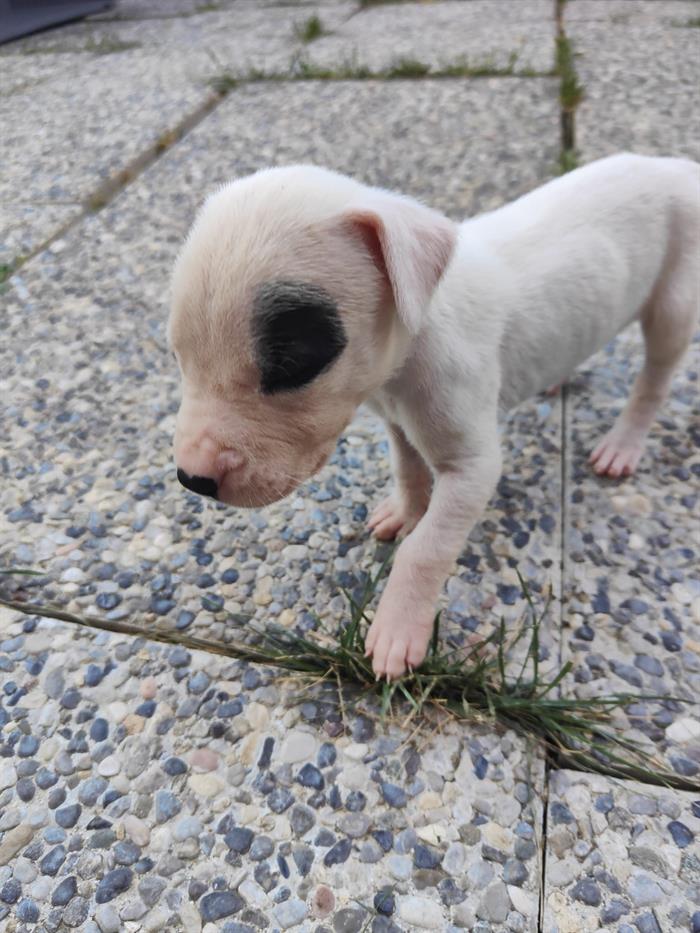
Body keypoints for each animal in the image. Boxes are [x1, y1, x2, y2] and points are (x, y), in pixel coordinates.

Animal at [170, 153, 700, 676]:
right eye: (177, 356)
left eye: (294, 364)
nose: (192, 480)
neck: (414, 337)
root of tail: (676, 164)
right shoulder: (394, 416)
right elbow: (407, 467)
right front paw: (406, 511)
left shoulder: (472, 467)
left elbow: (427, 549)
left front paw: (397, 631)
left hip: (674, 302)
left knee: (654, 380)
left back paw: (623, 444)